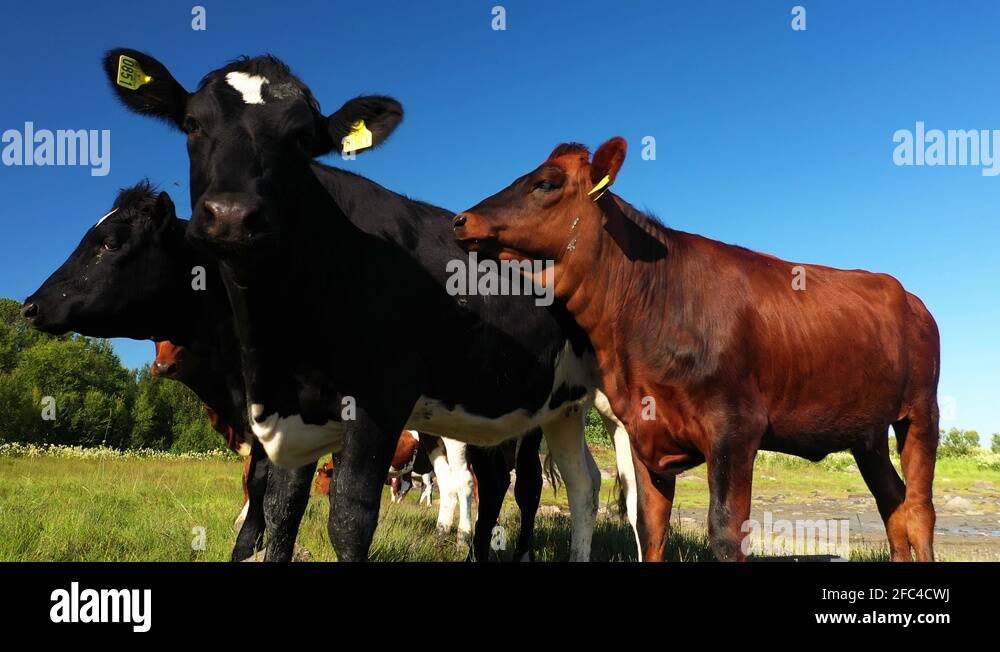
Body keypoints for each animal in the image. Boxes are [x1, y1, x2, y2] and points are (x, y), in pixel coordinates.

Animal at [99, 48, 625, 561]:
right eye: (192, 123)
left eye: (302, 141)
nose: (231, 214)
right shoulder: (295, 417)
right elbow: (281, 510)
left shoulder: (379, 400)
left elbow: (350, 519)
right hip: (547, 408)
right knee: (572, 482)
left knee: (553, 483)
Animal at [452, 137, 941, 562]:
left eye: (546, 183)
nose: (461, 220)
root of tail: (908, 295)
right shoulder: (643, 430)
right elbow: (649, 526)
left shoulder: (735, 430)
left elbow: (725, 532)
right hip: (867, 434)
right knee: (892, 503)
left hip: (920, 412)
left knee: (919, 511)